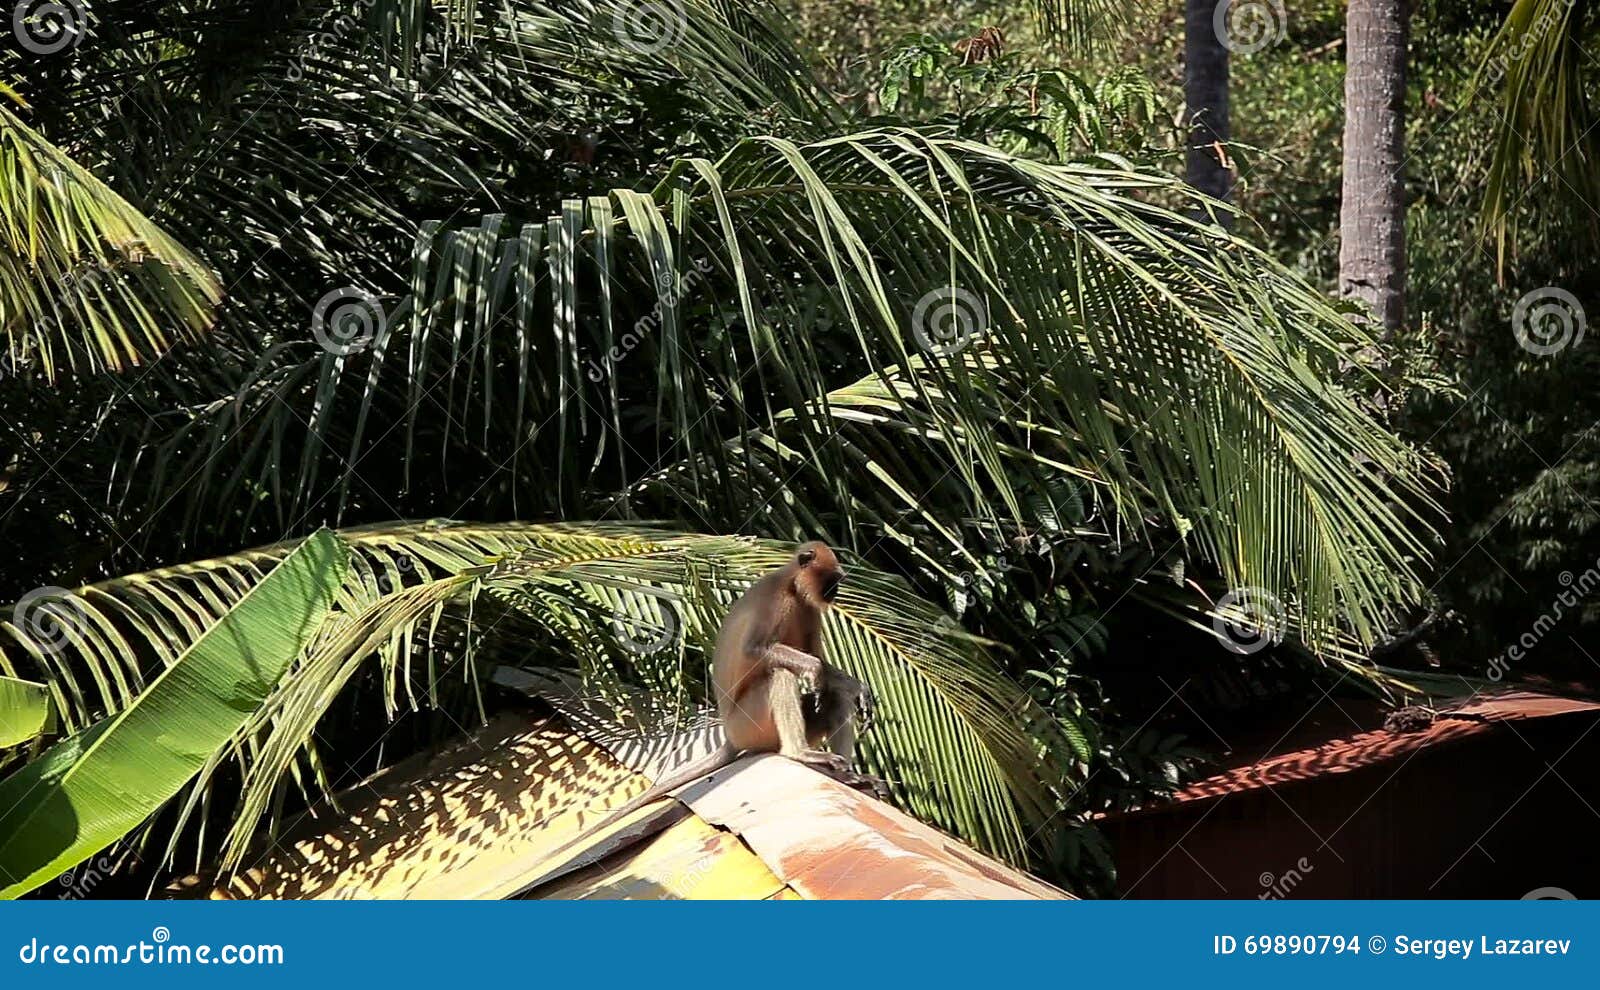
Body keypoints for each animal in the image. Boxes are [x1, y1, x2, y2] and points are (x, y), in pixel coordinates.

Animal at [511, 541, 879, 895]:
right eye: (831, 581)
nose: (834, 593)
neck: (791, 585)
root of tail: (730, 736)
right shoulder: (775, 599)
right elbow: (761, 652)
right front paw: (816, 672)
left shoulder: (808, 608)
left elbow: (824, 670)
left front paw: (857, 687)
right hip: (750, 724)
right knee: (779, 673)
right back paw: (799, 752)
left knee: (831, 695)